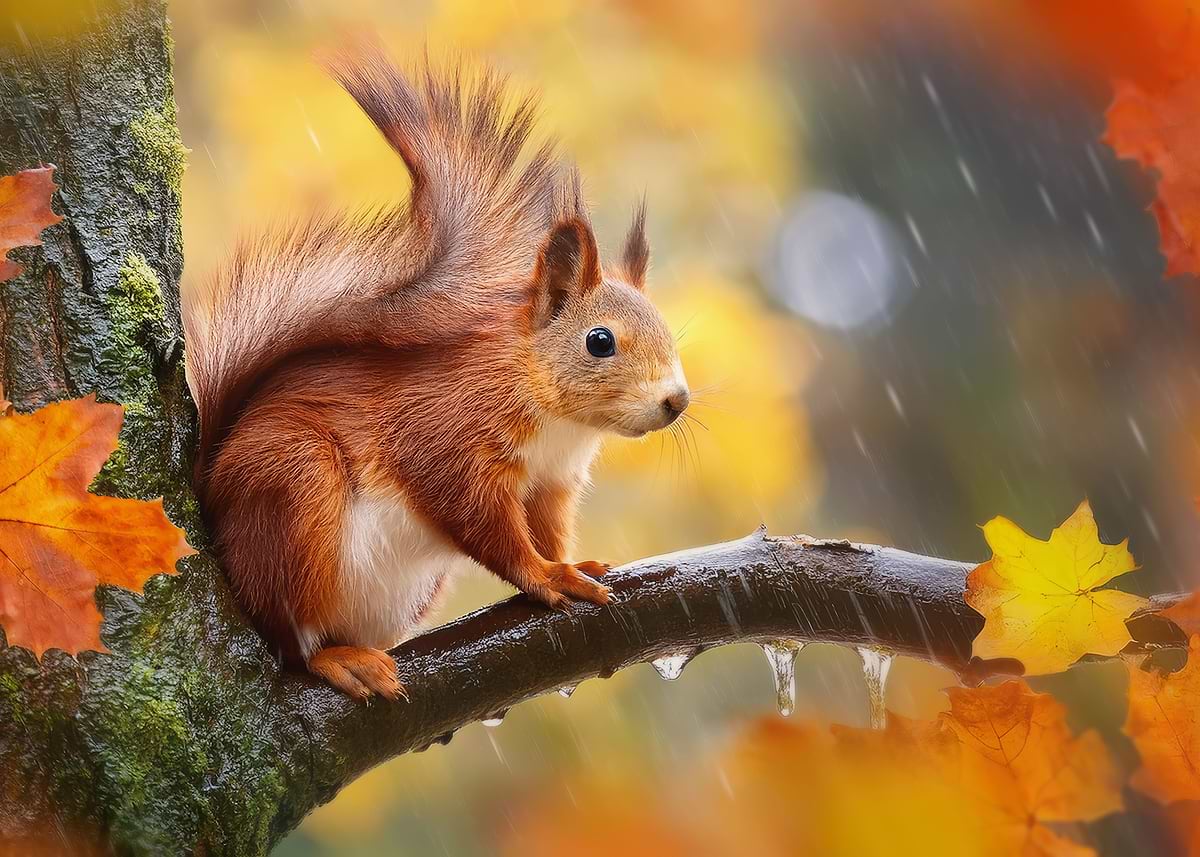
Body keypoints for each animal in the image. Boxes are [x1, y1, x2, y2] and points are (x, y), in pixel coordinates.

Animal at [182, 43, 690, 701]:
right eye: (599, 341)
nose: (677, 401)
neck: (556, 417)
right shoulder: (449, 434)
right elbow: (481, 521)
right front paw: (545, 575)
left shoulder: (551, 482)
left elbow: (547, 526)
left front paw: (570, 562)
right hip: (293, 488)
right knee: (291, 642)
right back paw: (336, 660)